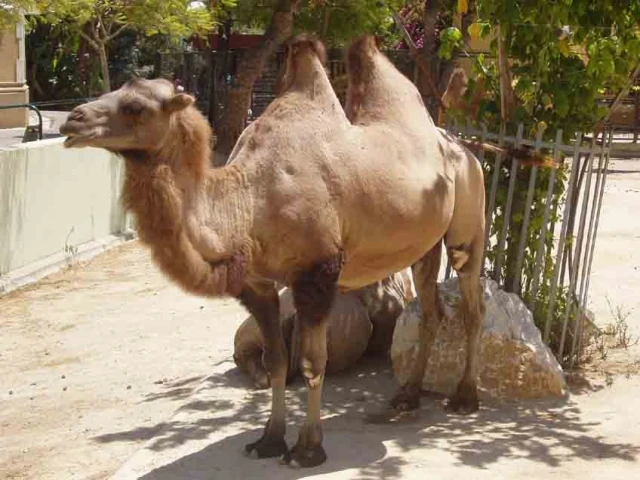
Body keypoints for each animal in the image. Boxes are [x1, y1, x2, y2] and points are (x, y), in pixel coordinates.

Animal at [58, 34, 485, 468]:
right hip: (425, 244)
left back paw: (465, 398)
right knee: (432, 310)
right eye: (117, 90)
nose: (72, 119)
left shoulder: (318, 272)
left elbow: (313, 364)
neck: (250, 199)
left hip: (470, 219)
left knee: (472, 305)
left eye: (135, 107)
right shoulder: (258, 285)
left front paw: (308, 448)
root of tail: (462, 146)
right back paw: (408, 396)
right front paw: (269, 440)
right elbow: (276, 361)